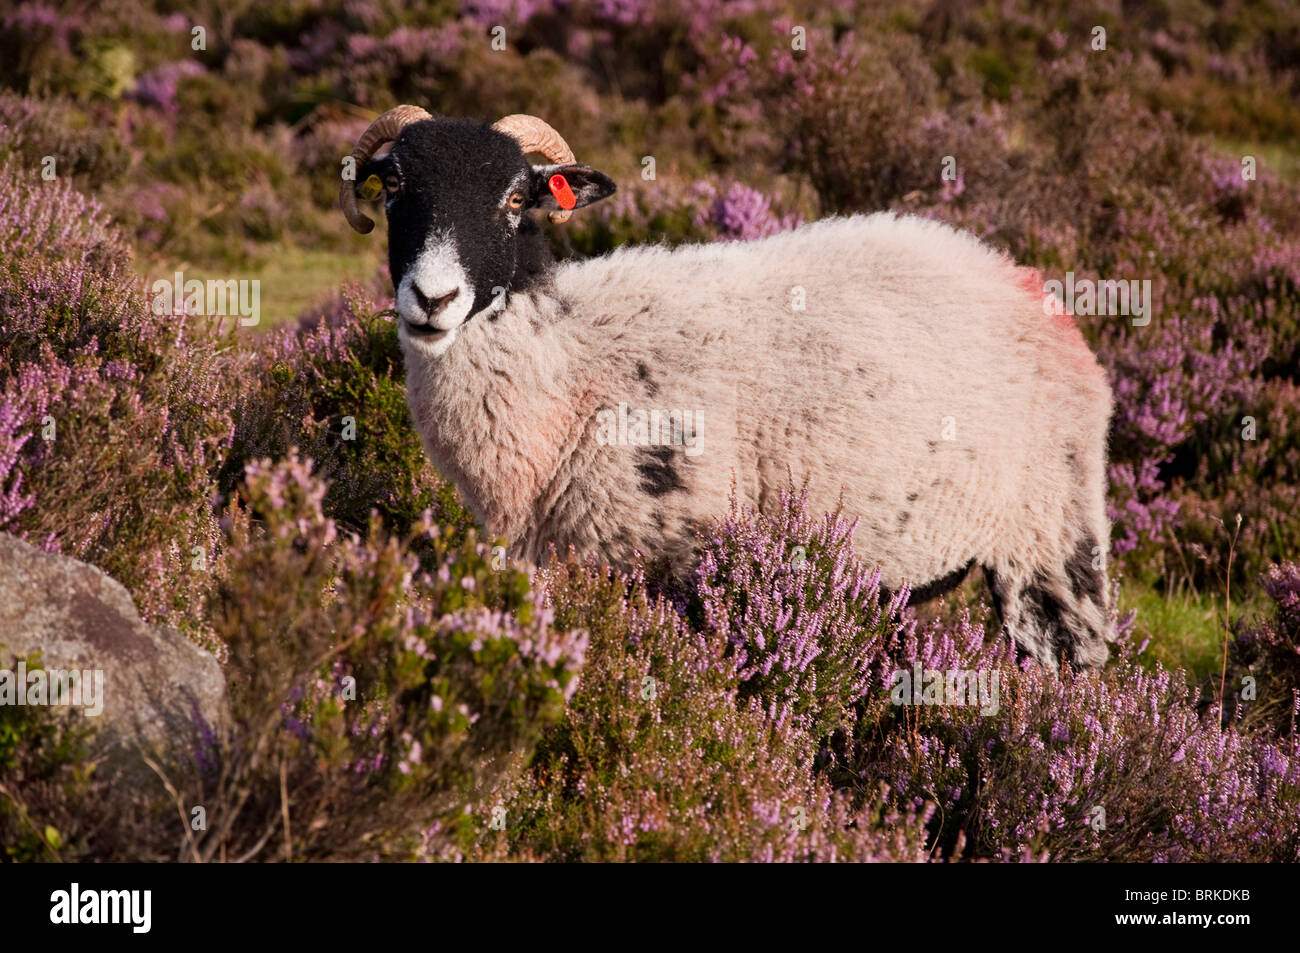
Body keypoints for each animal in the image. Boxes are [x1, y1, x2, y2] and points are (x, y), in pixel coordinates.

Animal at [340, 107, 1116, 669]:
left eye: (512, 198)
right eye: (395, 186)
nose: (433, 299)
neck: (571, 369)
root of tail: (1030, 288)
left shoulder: (687, 559)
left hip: (1051, 540)